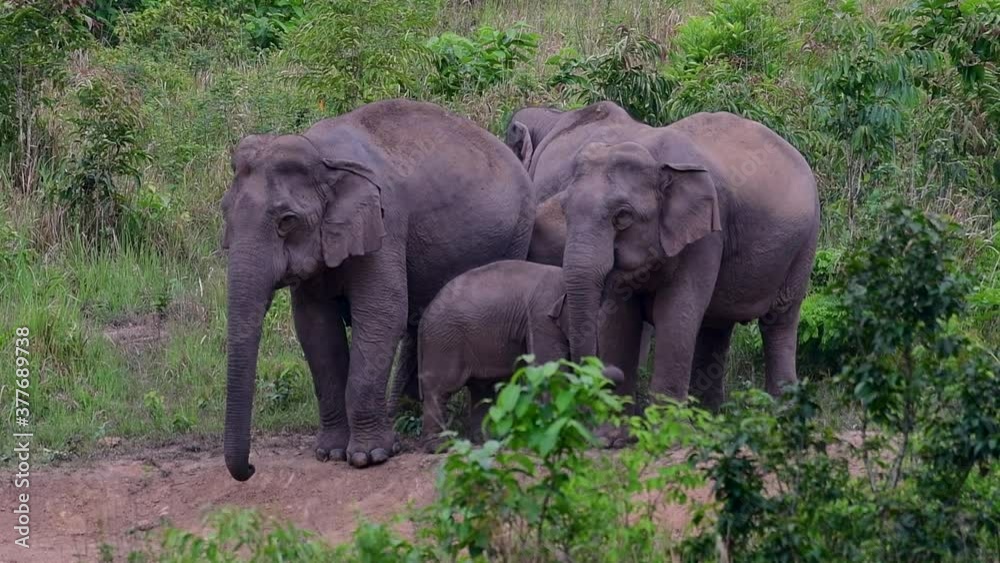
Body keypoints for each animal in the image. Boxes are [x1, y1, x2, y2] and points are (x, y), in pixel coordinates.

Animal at [221, 99, 535, 479]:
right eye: (225, 214)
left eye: (287, 221)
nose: (251, 468)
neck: (323, 156)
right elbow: (315, 327)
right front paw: (330, 453)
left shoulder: (386, 223)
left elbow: (382, 314)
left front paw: (368, 457)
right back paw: (402, 411)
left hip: (517, 232)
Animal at [417, 260, 623, 448]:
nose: (609, 442)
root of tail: (423, 317)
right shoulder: (540, 318)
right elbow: (550, 368)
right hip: (444, 340)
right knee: (442, 388)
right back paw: (439, 446)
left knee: (482, 388)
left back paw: (489, 441)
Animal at [529, 101, 819, 411]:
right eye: (565, 210)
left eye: (623, 216)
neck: (653, 153)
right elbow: (621, 316)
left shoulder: (707, 234)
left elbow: (677, 312)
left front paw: (664, 419)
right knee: (716, 325)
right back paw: (711, 415)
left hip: (804, 244)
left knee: (779, 320)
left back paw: (782, 411)